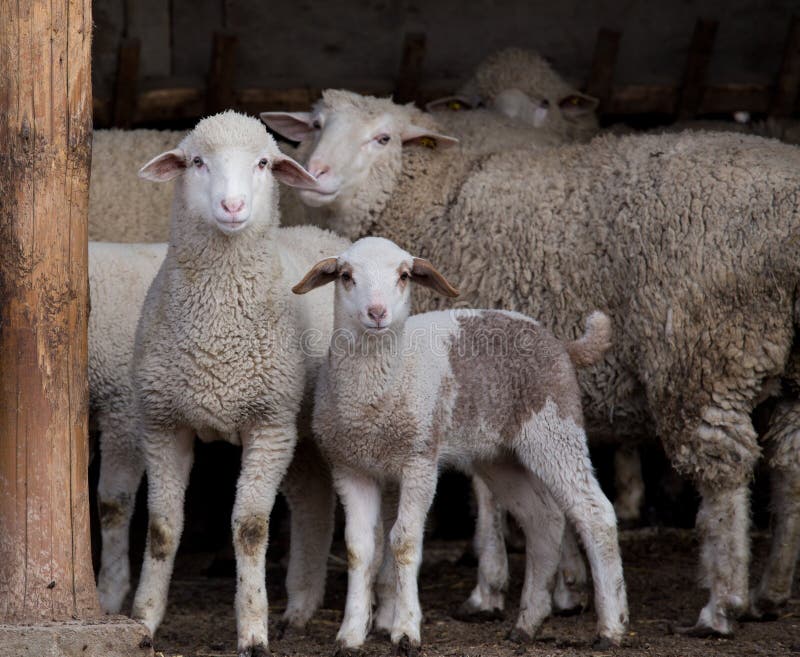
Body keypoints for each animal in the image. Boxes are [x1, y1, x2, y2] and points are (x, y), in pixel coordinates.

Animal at [128, 111, 350, 656]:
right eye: (197, 162)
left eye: (264, 163)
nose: (233, 207)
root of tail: (318, 230)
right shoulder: (163, 424)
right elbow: (162, 530)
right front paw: (144, 620)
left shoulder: (267, 427)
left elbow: (250, 529)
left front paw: (252, 631)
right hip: (300, 435)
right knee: (312, 501)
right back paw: (300, 607)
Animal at [293, 236, 627, 652]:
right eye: (345, 275)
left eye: (404, 276)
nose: (377, 313)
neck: (374, 397)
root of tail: (559, 342)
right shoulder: (350, 467)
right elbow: (359, 549)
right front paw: (351, 634)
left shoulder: (419, 459)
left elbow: (404, 542)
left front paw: (406, 630)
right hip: (500, 456)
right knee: (544, 520)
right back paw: (527, 623)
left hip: (554, 428)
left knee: (595, 513)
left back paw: (611, 627)